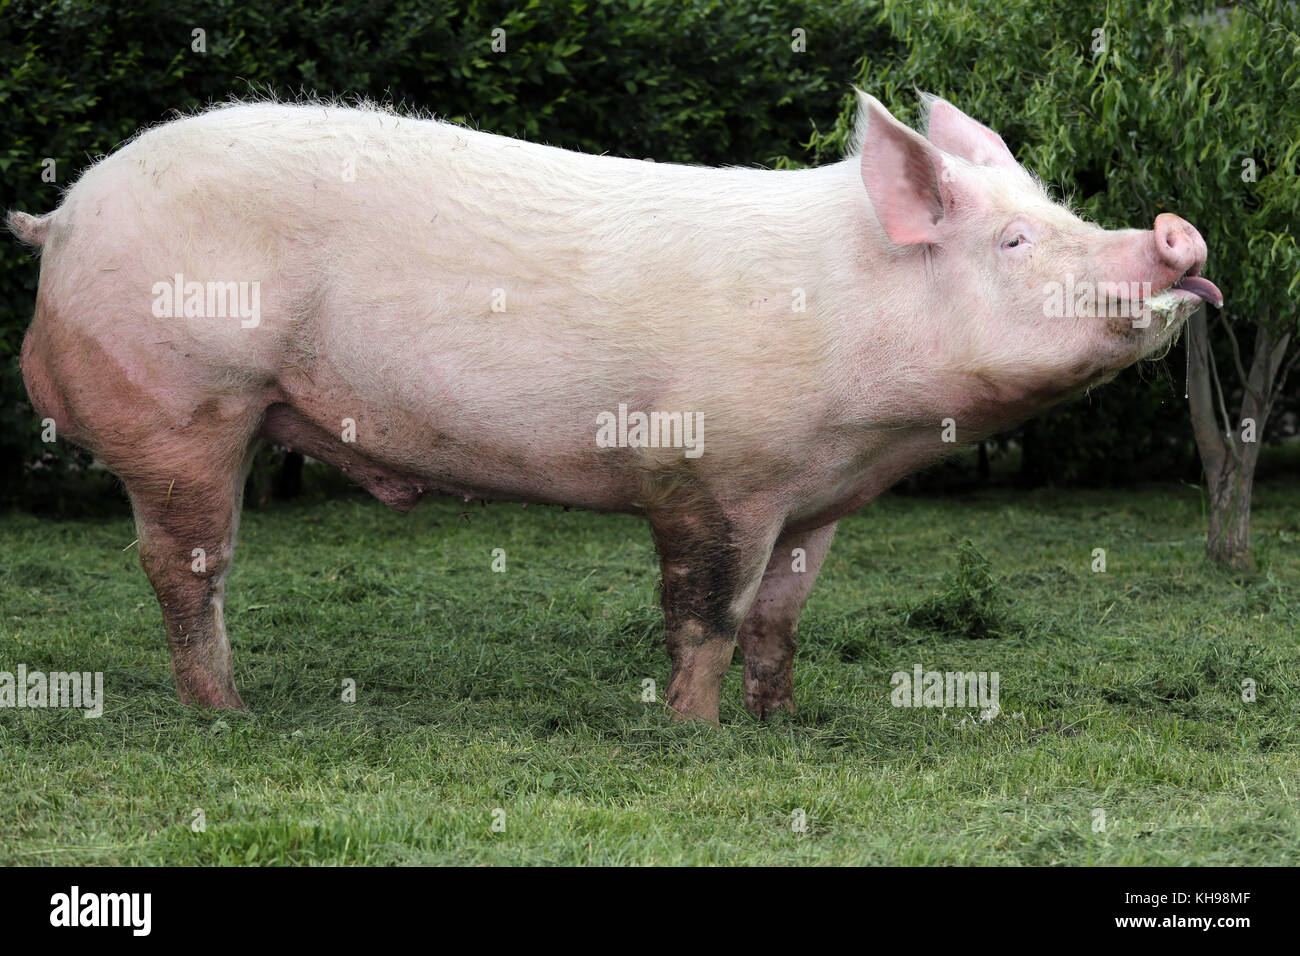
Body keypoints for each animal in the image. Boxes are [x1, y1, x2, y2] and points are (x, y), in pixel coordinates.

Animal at [9, 92, 1221, 722]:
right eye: (1014, 240)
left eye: (1059, 209)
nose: (1177, 236)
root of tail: (61, 217)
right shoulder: (711, 472)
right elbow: (708, 611)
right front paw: (695, 734)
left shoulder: (818, 496)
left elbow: (780, 618)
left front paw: (782, 722)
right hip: (184, 405)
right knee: (185, 566)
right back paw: (229, 712)